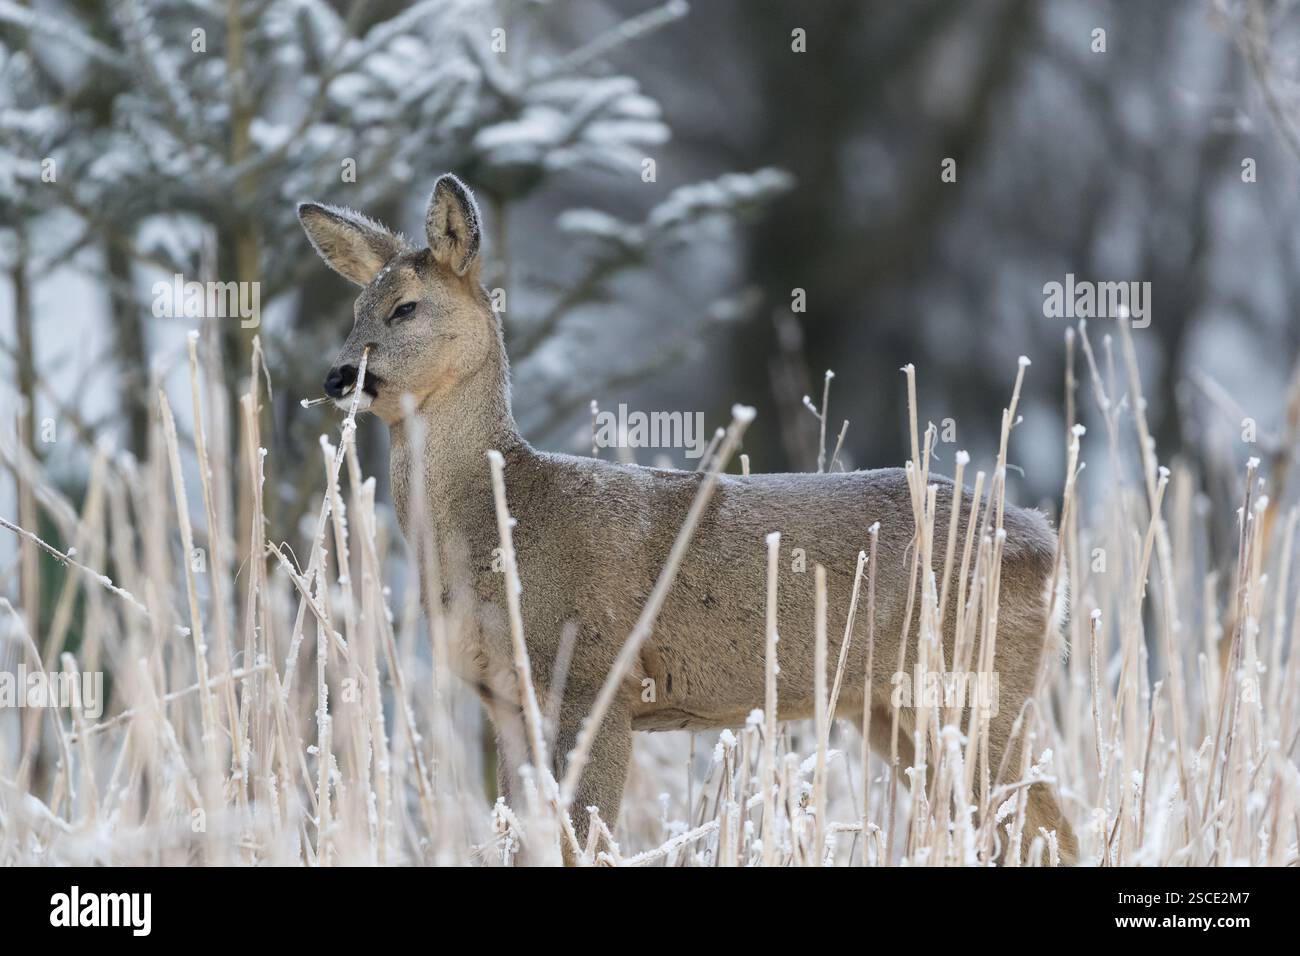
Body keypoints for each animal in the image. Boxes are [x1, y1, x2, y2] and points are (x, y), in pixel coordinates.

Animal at [297, 173, 1078, 866]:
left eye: (406, 307)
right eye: (356, 308)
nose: (337, 376)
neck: (507, 515)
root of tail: (1047, 543)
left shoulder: (597, 678)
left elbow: (585, 842)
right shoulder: (505, 701)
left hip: (977, 681)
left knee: (1051, 825)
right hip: (891, 704)